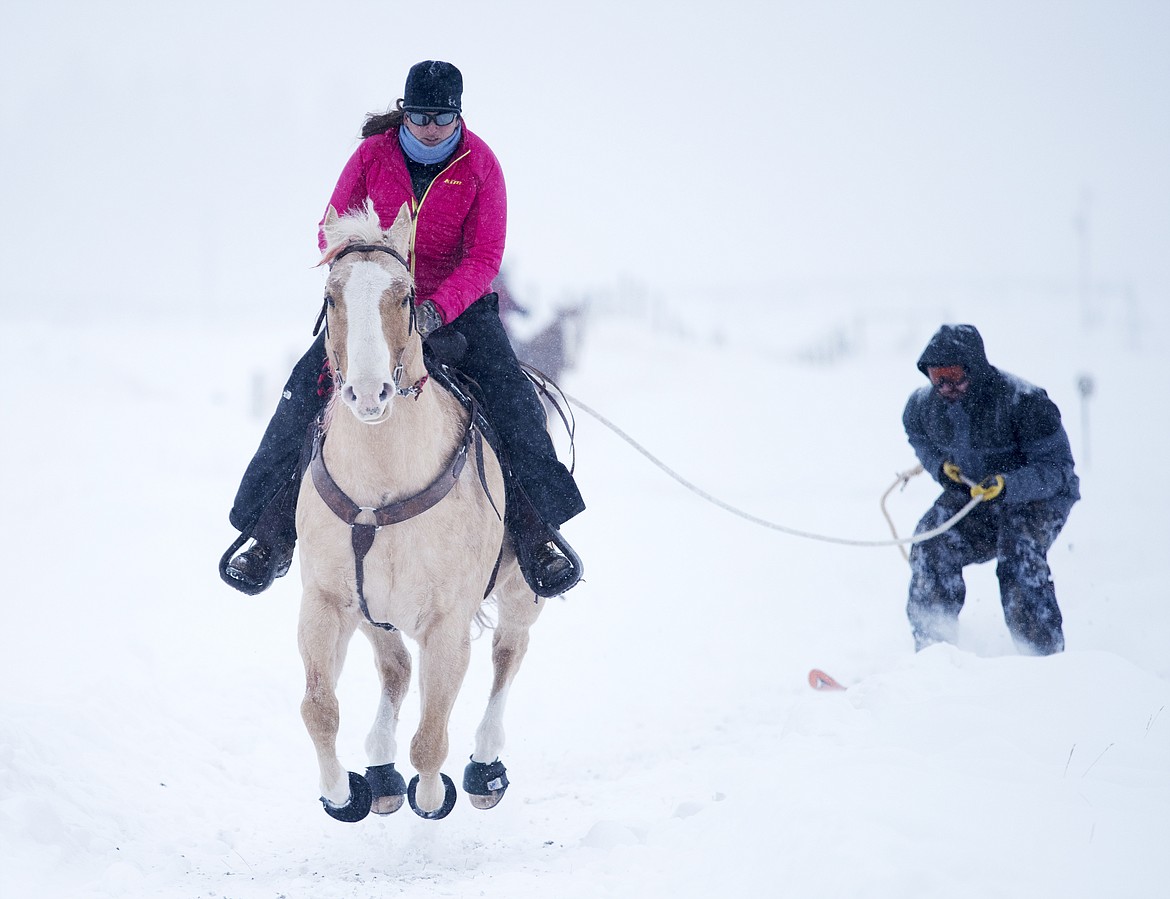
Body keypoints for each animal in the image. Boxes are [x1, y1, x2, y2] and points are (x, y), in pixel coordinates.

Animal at [294, 199, 543, 822]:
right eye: (331, 297)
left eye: (406, 297)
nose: (368, 394)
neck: (381, 486)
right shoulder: (326, 602)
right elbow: (319, 708)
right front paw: (341, 794)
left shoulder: (447, 623)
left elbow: (431, 737)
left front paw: (432, 798)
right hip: (372, 614)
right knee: (396, 669)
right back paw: (381, 774)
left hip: (521, 593)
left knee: (508, 654)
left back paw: (483, 769)